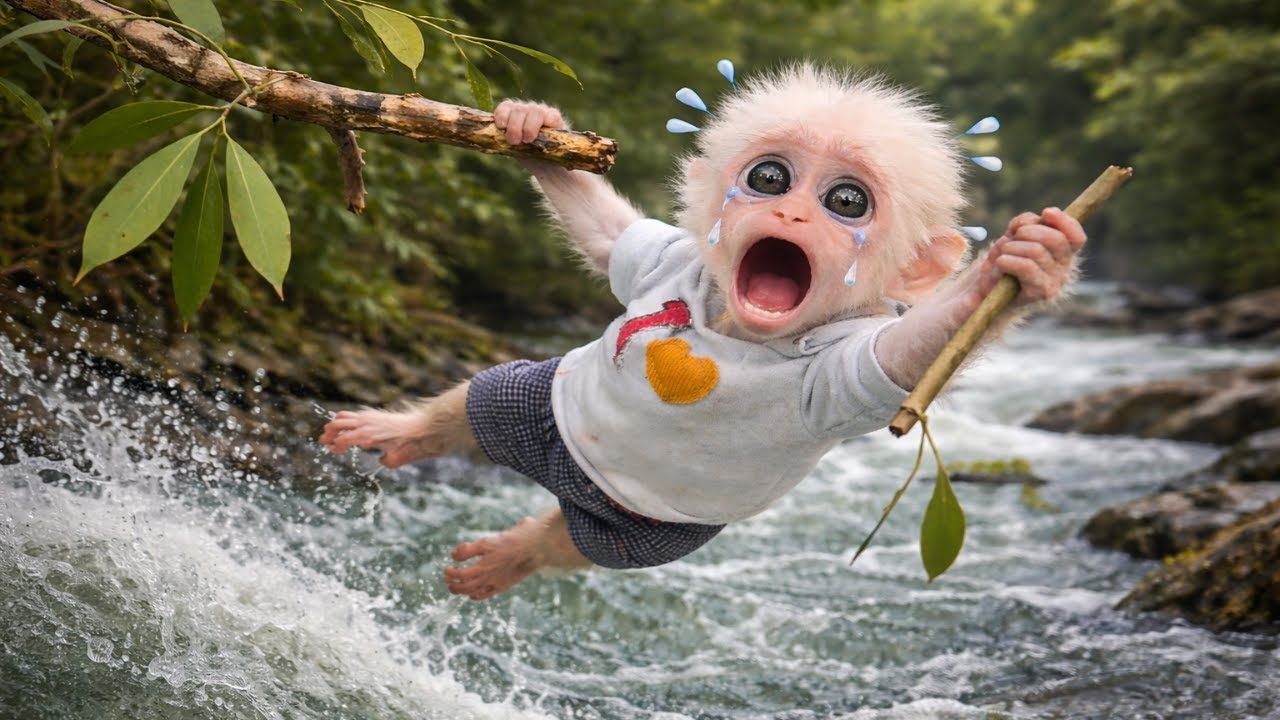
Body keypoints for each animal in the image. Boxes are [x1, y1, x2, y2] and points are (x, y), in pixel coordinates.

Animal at [319, 64, 1087, 601]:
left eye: (846, 200)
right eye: (770, 177)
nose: (794, 217)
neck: (726, 328)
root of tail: (573, 478)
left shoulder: (843, 363)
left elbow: (905, 349)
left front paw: (1027, 266)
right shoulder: (662, 257)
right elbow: (613, 240)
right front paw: (533, 129)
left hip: (641, 534)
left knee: (569, 542)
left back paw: (502, 559)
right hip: (545, 406)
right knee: (482, 400)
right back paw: (397, 433)